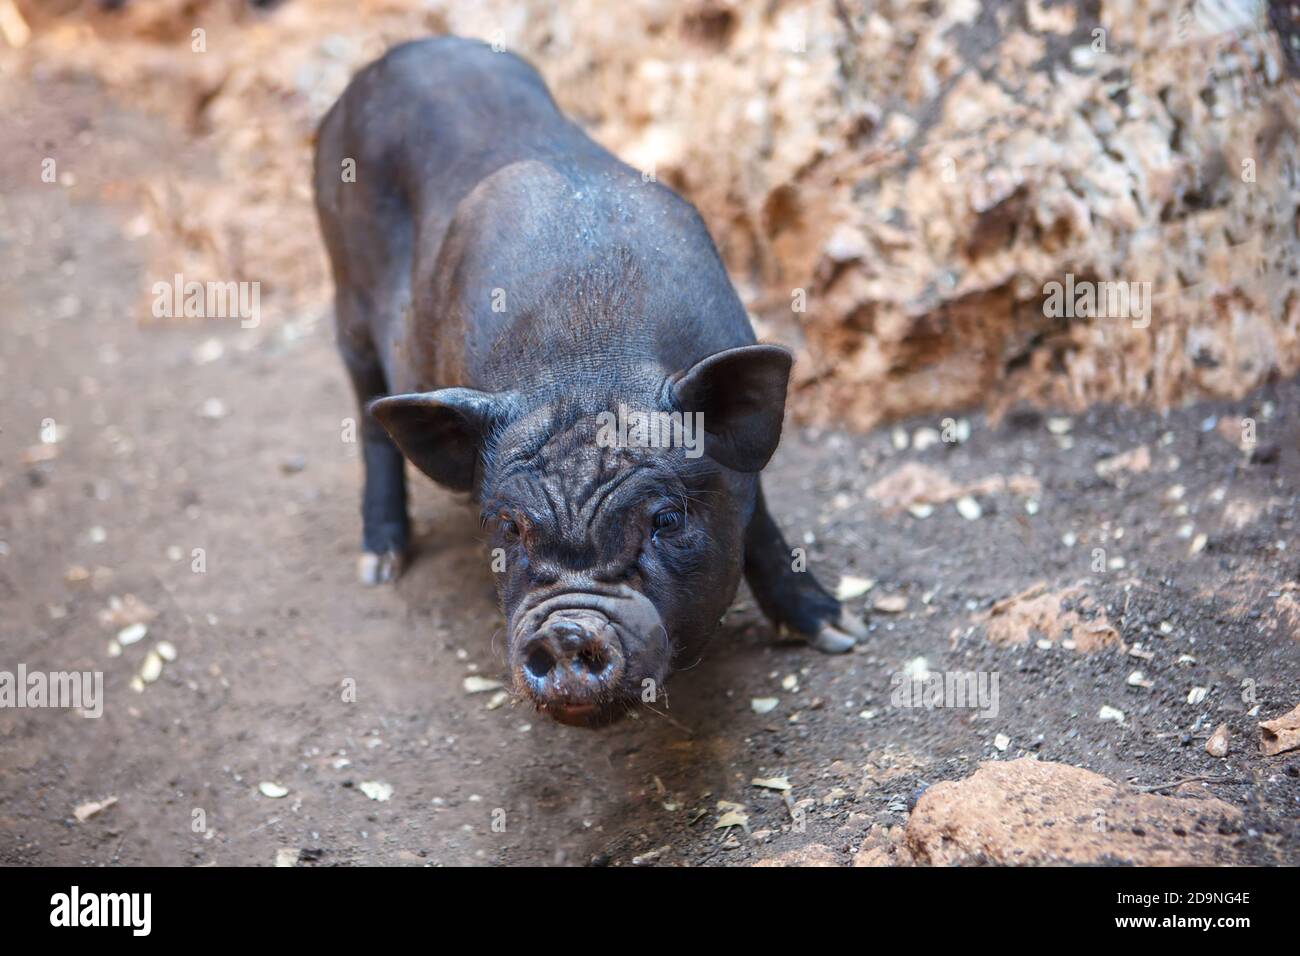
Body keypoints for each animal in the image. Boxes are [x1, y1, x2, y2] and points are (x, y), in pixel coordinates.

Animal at [313, 37, 866, 726]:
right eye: (508, 527)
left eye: (666, 519)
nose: (565, 631)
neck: (590, 357)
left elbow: (760, 523)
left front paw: (842, 634)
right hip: (347, 304)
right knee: (369, 424)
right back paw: (379, 566)